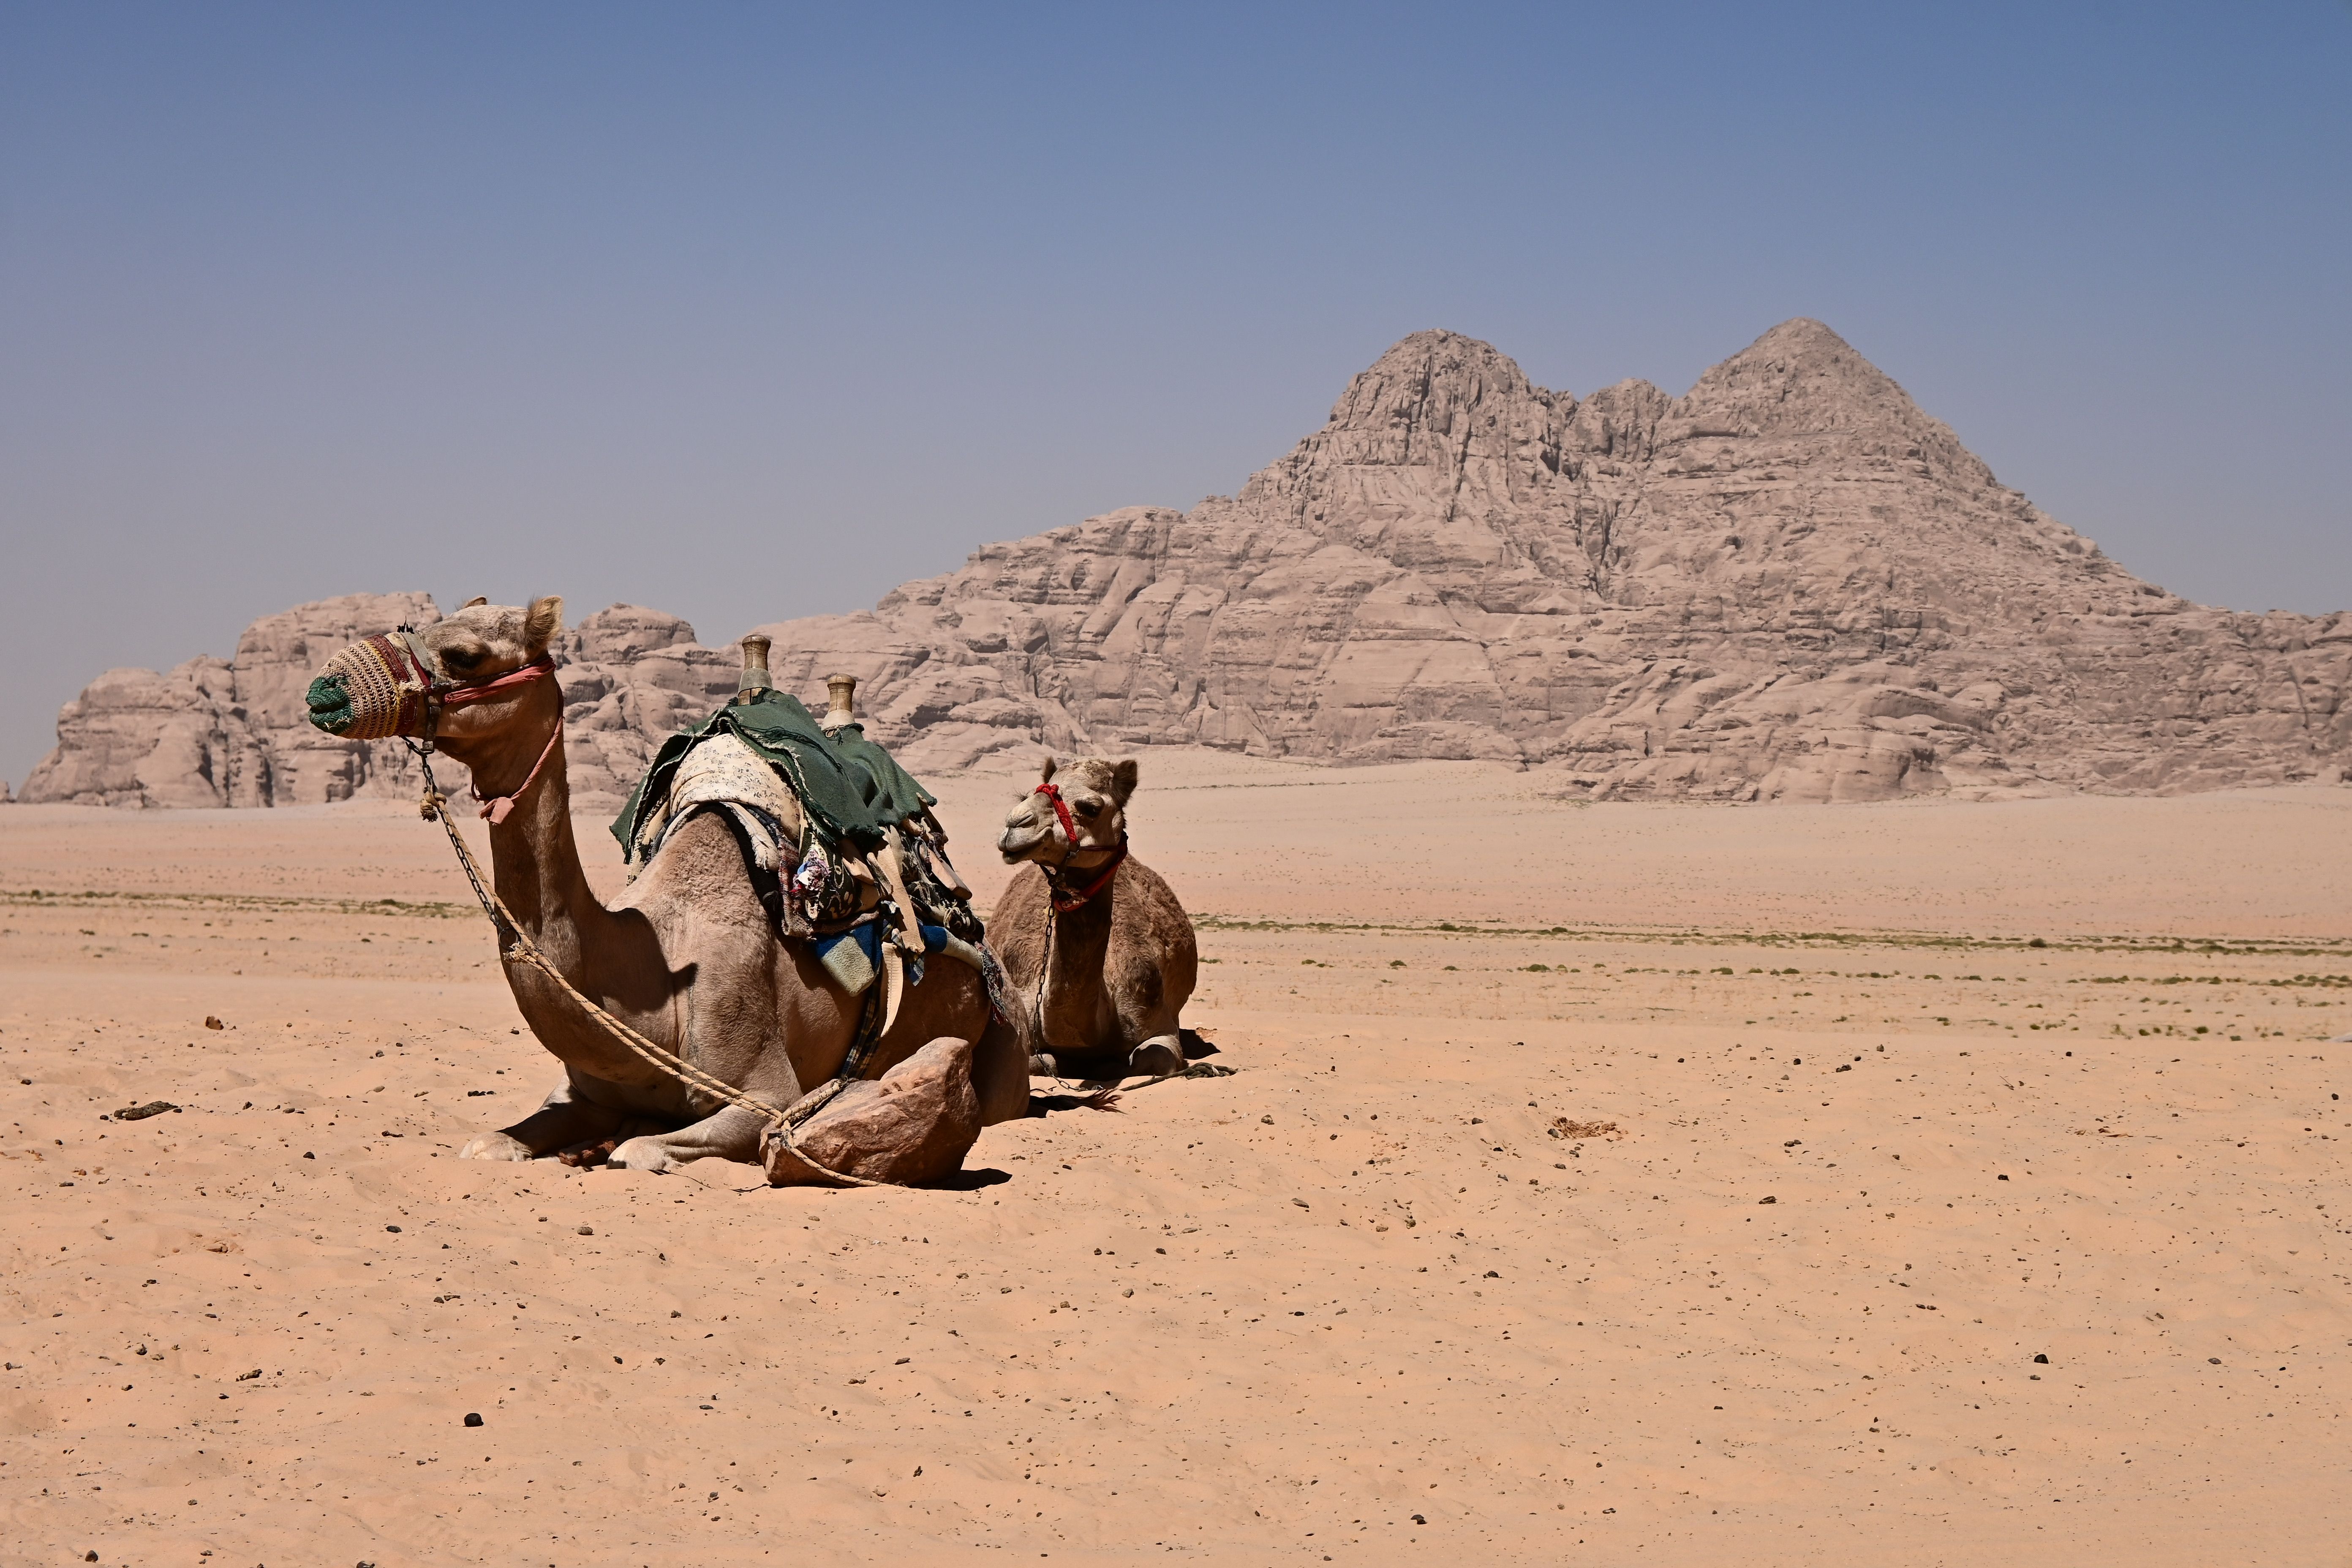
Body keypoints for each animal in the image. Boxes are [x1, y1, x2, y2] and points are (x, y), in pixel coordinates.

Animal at [305, 596, 1030, 1173]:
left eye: (464, 653)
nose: (325, 692)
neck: (653, 979)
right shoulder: (580, 1092)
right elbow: (488, 1143)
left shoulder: (769, 1094)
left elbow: (644, 1149)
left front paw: (619, 1143)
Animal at [992, 755, 1198, 1081]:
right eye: (1025, 796)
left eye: (1091, 807)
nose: (1016, 825)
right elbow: (1041, 1062)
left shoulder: (1161, 1022)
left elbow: (1155, 1058)